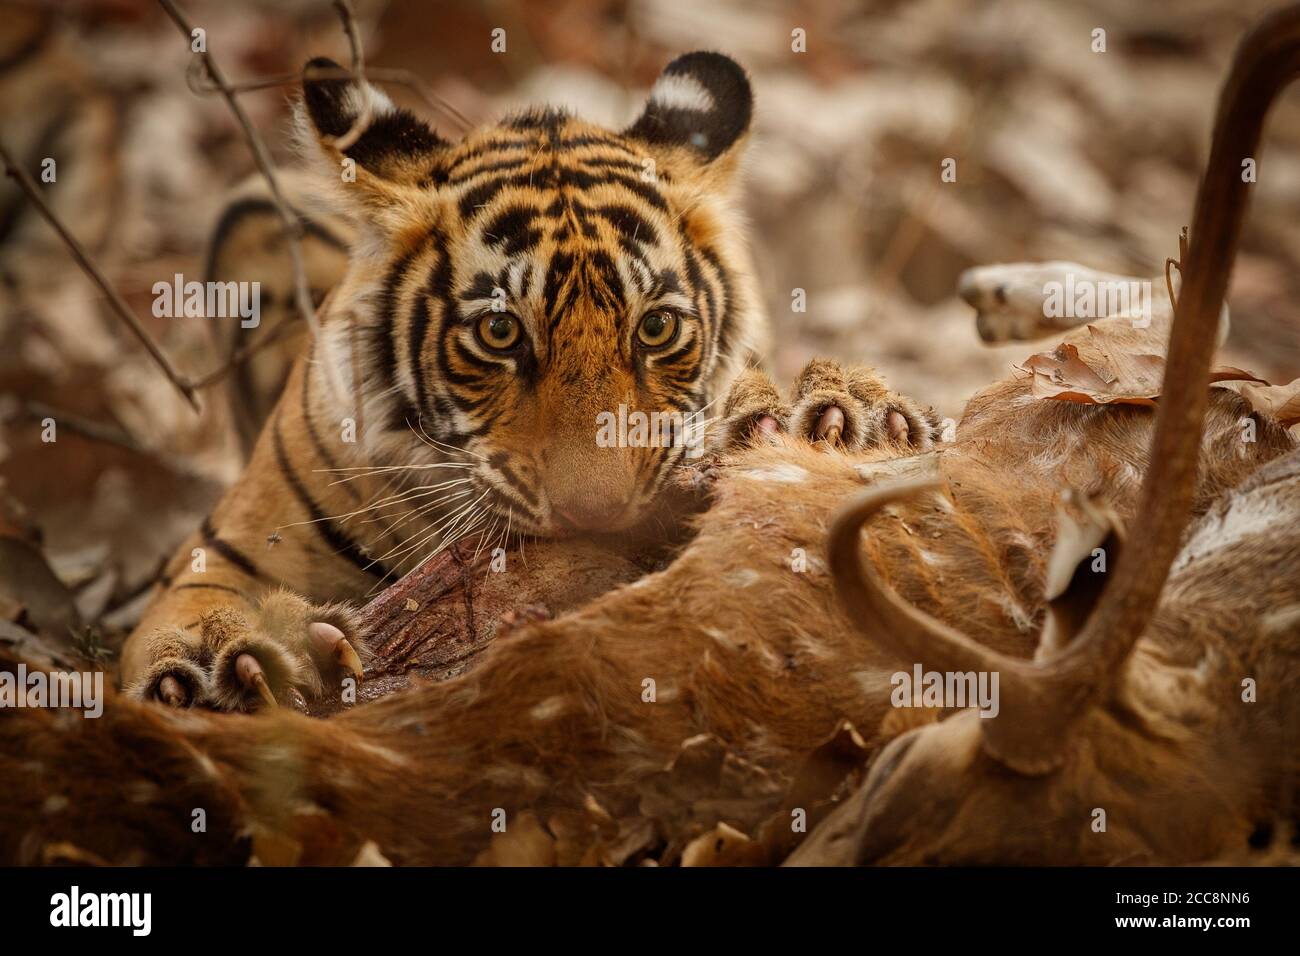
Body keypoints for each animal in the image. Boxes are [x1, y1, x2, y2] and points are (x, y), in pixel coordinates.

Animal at [123, 51, 938, 710]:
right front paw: (225, 662)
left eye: (655, 328)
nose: (595, 514)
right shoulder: (220, 551)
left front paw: (839, 415)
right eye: (499, 332)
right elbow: (186, 613)